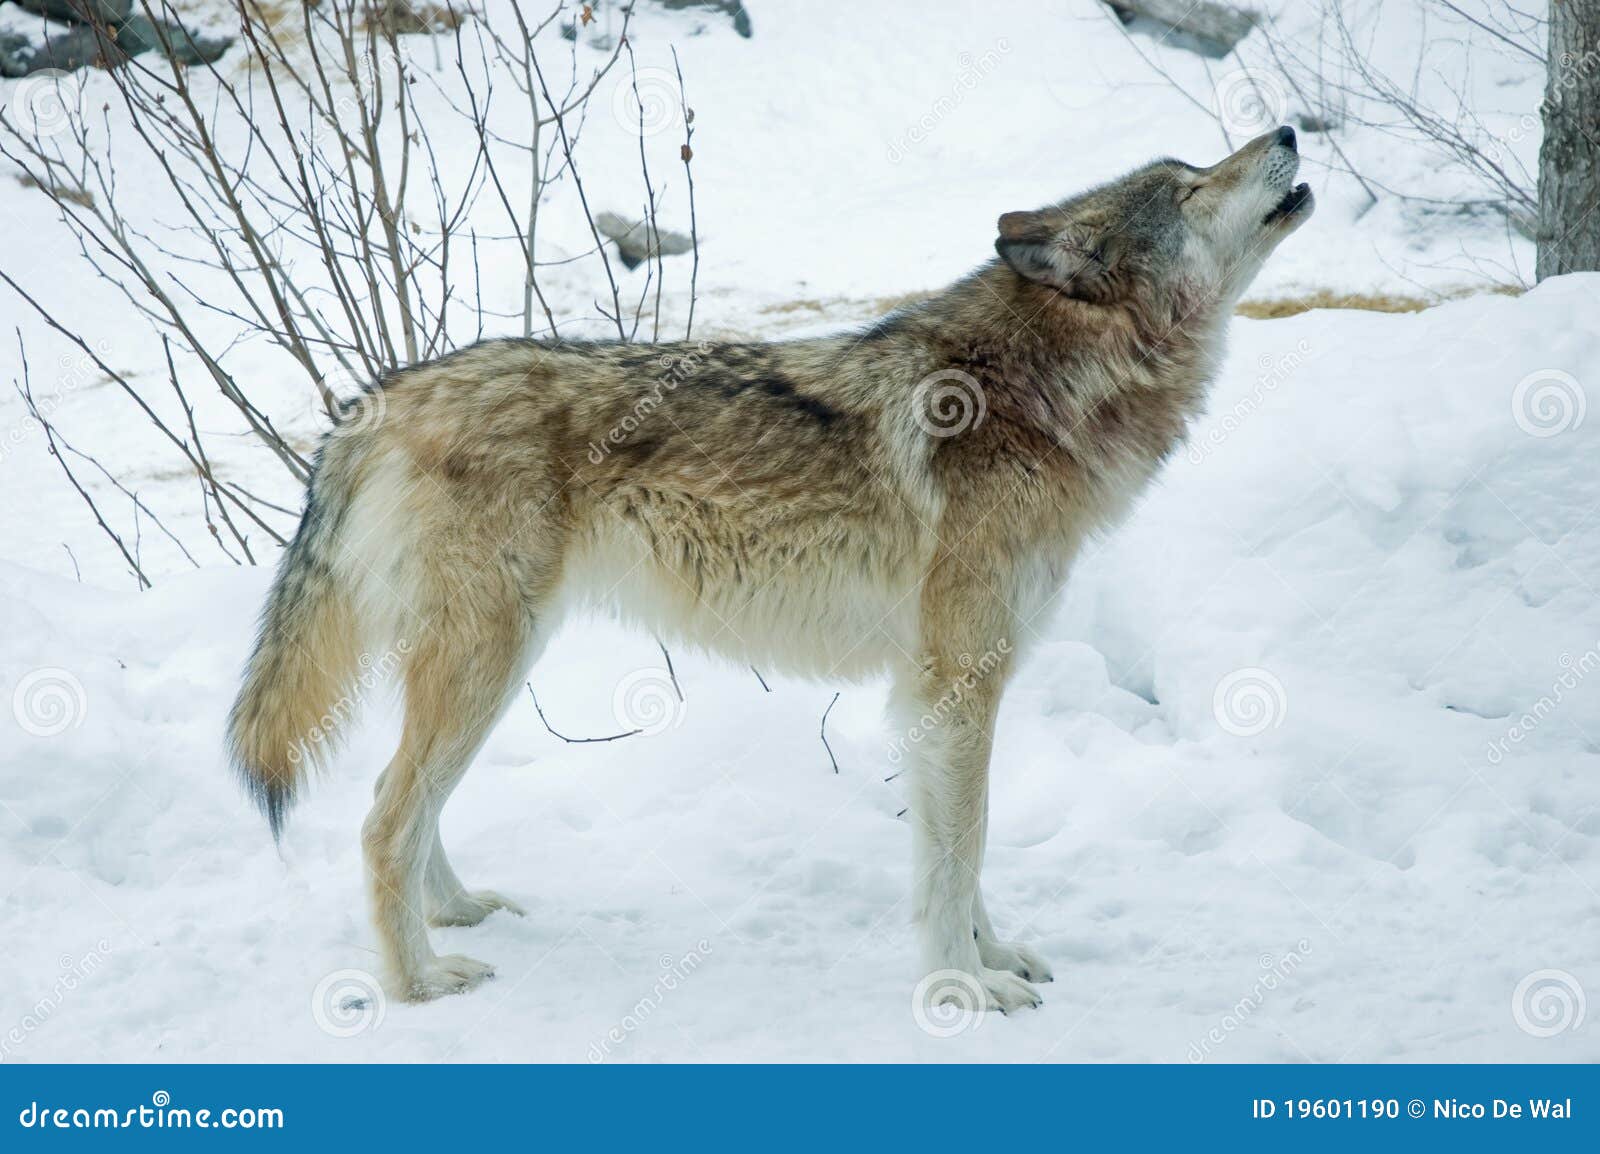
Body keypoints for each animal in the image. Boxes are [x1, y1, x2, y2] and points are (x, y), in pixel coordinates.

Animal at [228, 126, 1313, 1010]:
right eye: (1189, 184)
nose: (1291, 131)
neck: (1039, 392)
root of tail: (375, 399)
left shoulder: (945, 696)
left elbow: (965, 857)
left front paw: (994, 958)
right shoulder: (956, 686)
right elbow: (955, 856)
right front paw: (962, 989)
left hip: (497, 662)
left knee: (406, 804)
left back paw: (456, 913)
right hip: (485, 661)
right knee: (384, 817)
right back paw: (418, 982)